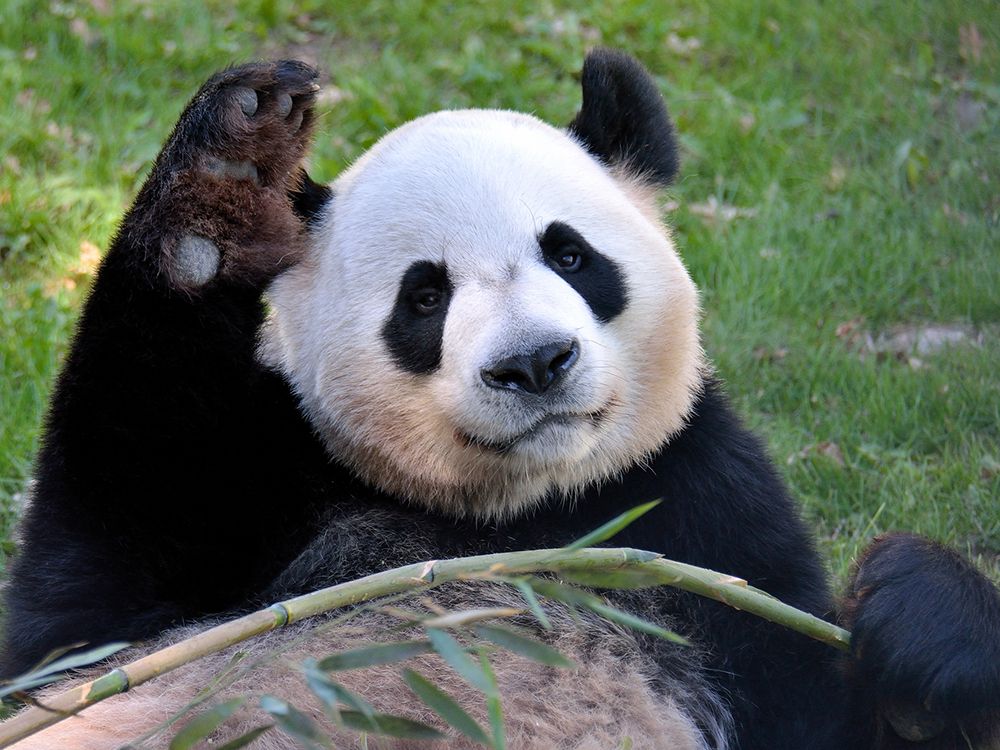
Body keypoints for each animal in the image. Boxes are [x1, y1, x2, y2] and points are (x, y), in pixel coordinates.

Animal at [3, 51, 999, 749]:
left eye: (570, 254)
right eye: (424, 297)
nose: (535, 364)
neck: (521, 515)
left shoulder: (701, 511)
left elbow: (812, 705)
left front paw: (922, 626)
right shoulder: (265, 486)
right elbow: (79, 614)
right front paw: (224, 184)